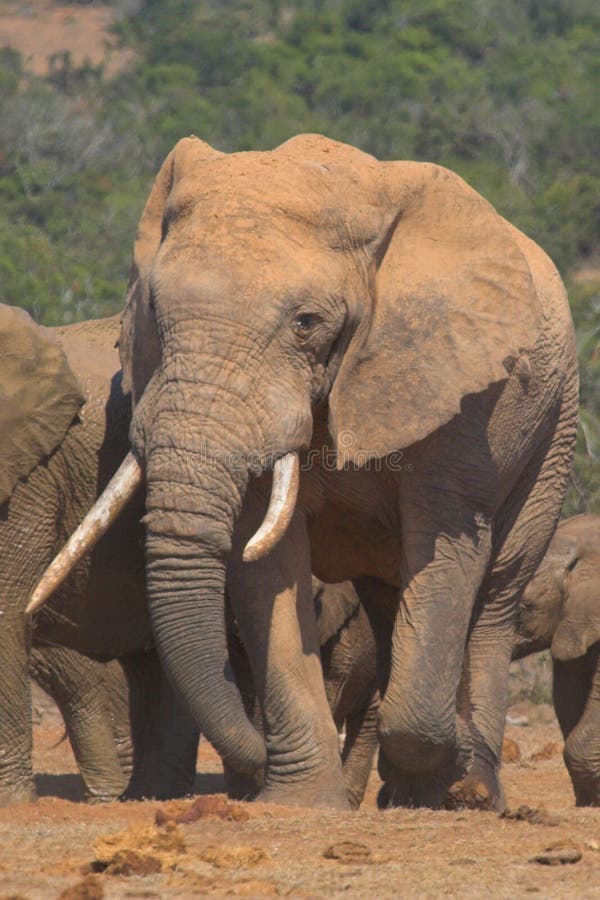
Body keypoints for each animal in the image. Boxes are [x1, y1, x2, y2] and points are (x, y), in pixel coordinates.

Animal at [31, 134, 578, 811]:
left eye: (306, 324)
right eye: (154, 312)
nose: (248, 764)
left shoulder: (453, 392)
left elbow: (446, 544)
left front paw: (453, 766)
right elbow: (266, 564)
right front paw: (302, 803)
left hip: (553, 425)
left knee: (497, 586)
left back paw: (472, 789)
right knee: (390, 592)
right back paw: (416, 792)